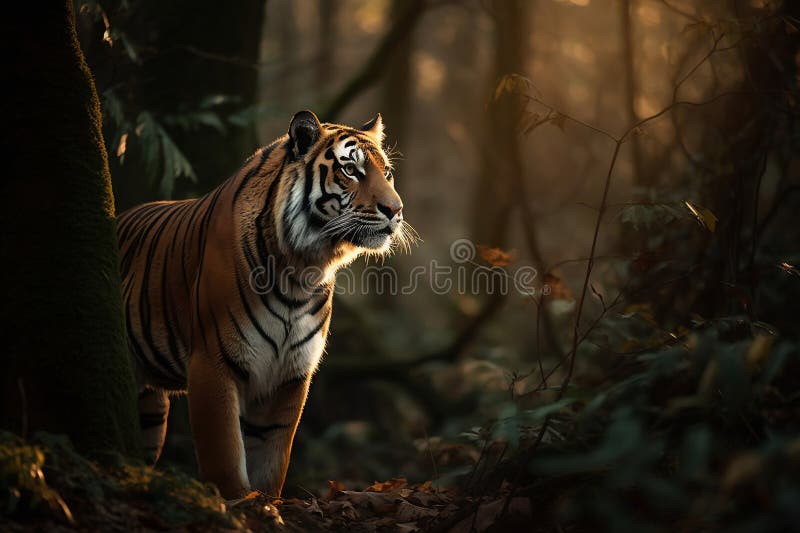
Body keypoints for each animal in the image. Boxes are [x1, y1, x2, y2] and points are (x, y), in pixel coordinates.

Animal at [116, 110, 414, 499]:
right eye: (351, 170)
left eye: (387, 172)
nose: (396, 209)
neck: (302, 270)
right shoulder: (213, 362)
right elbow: (224, 454)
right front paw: (239, 504)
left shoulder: (290, 374)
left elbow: (273, 457)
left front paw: (268, 503)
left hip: (150, 409)